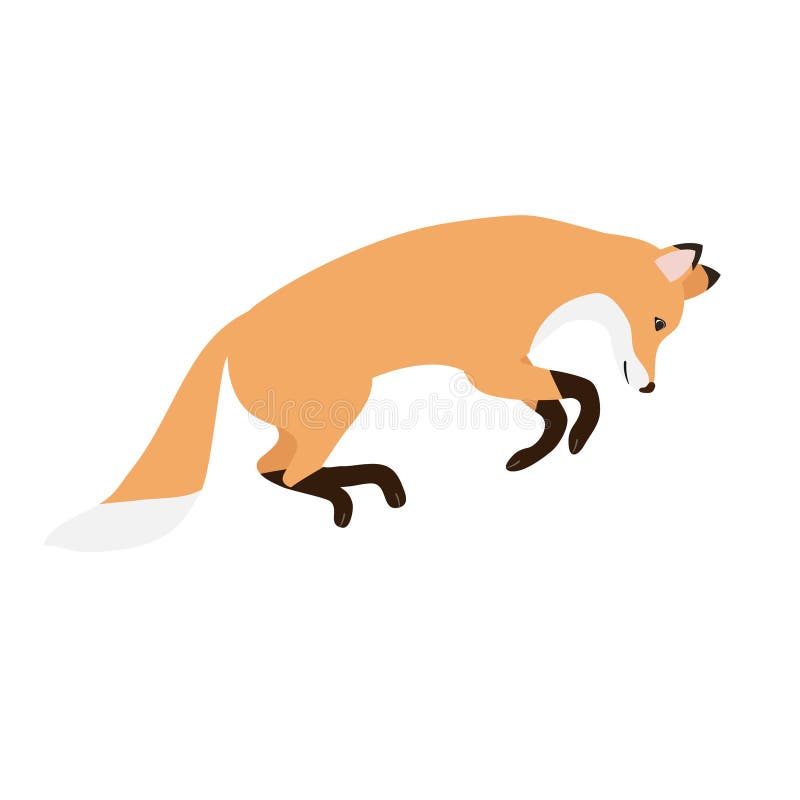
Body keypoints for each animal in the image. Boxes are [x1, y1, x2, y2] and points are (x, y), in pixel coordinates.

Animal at [48, 216, 719, 550]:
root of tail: (228, 331)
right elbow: (570, 399)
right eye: (658, 324)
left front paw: (561, 444)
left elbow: (575, 394)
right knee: (282, 470)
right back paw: (362, 491)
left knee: (272, 468)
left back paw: (367, 486)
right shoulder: (492, 364)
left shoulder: (510, 361)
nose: (650, 388)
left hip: (315, 413)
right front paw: (539, 452)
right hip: (337, 405)